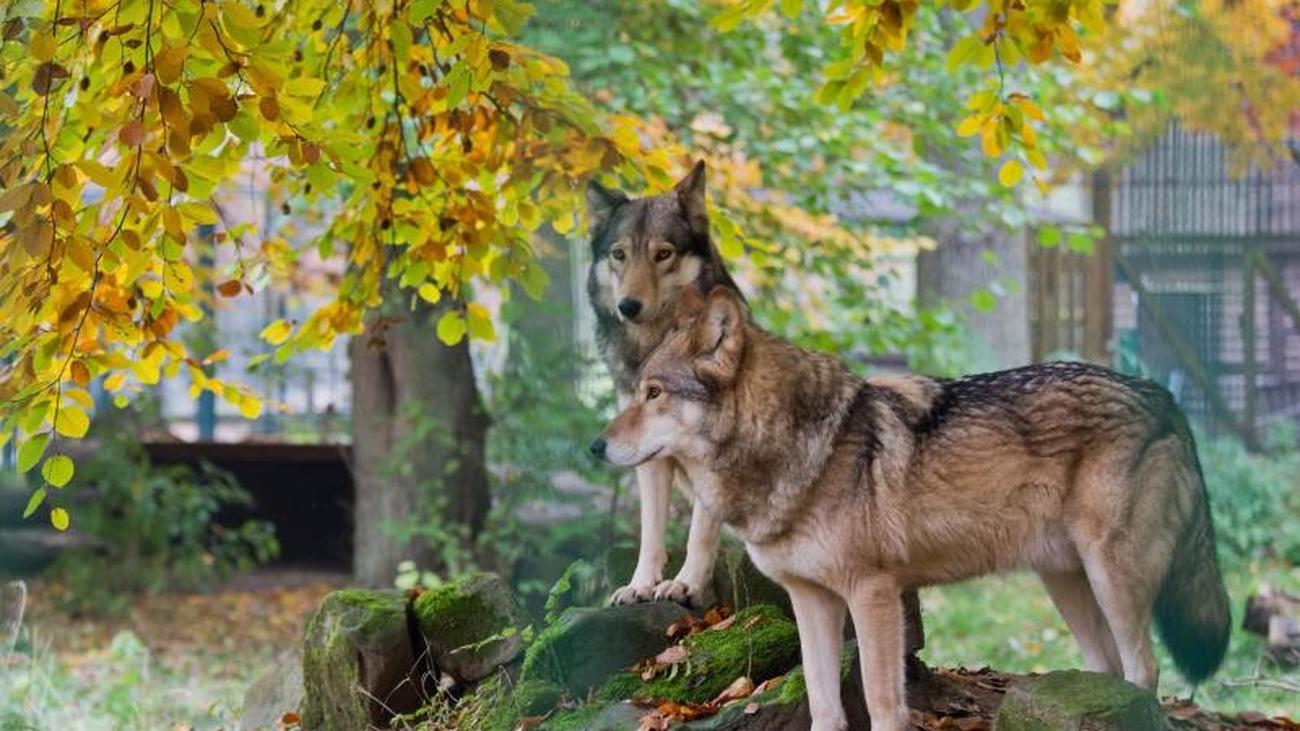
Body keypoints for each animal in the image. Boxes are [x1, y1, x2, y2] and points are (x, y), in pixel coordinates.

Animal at [592, 286, 1231, 731]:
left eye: (654, 393)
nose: (595, 446)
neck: (801, 448)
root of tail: (1164, 397)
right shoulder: (812, 600)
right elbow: (824, 708)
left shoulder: (873, 594)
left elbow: (881, 705)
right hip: (1067, 583)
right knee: (1110, 671)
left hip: (1111, 576)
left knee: (1145, 670)